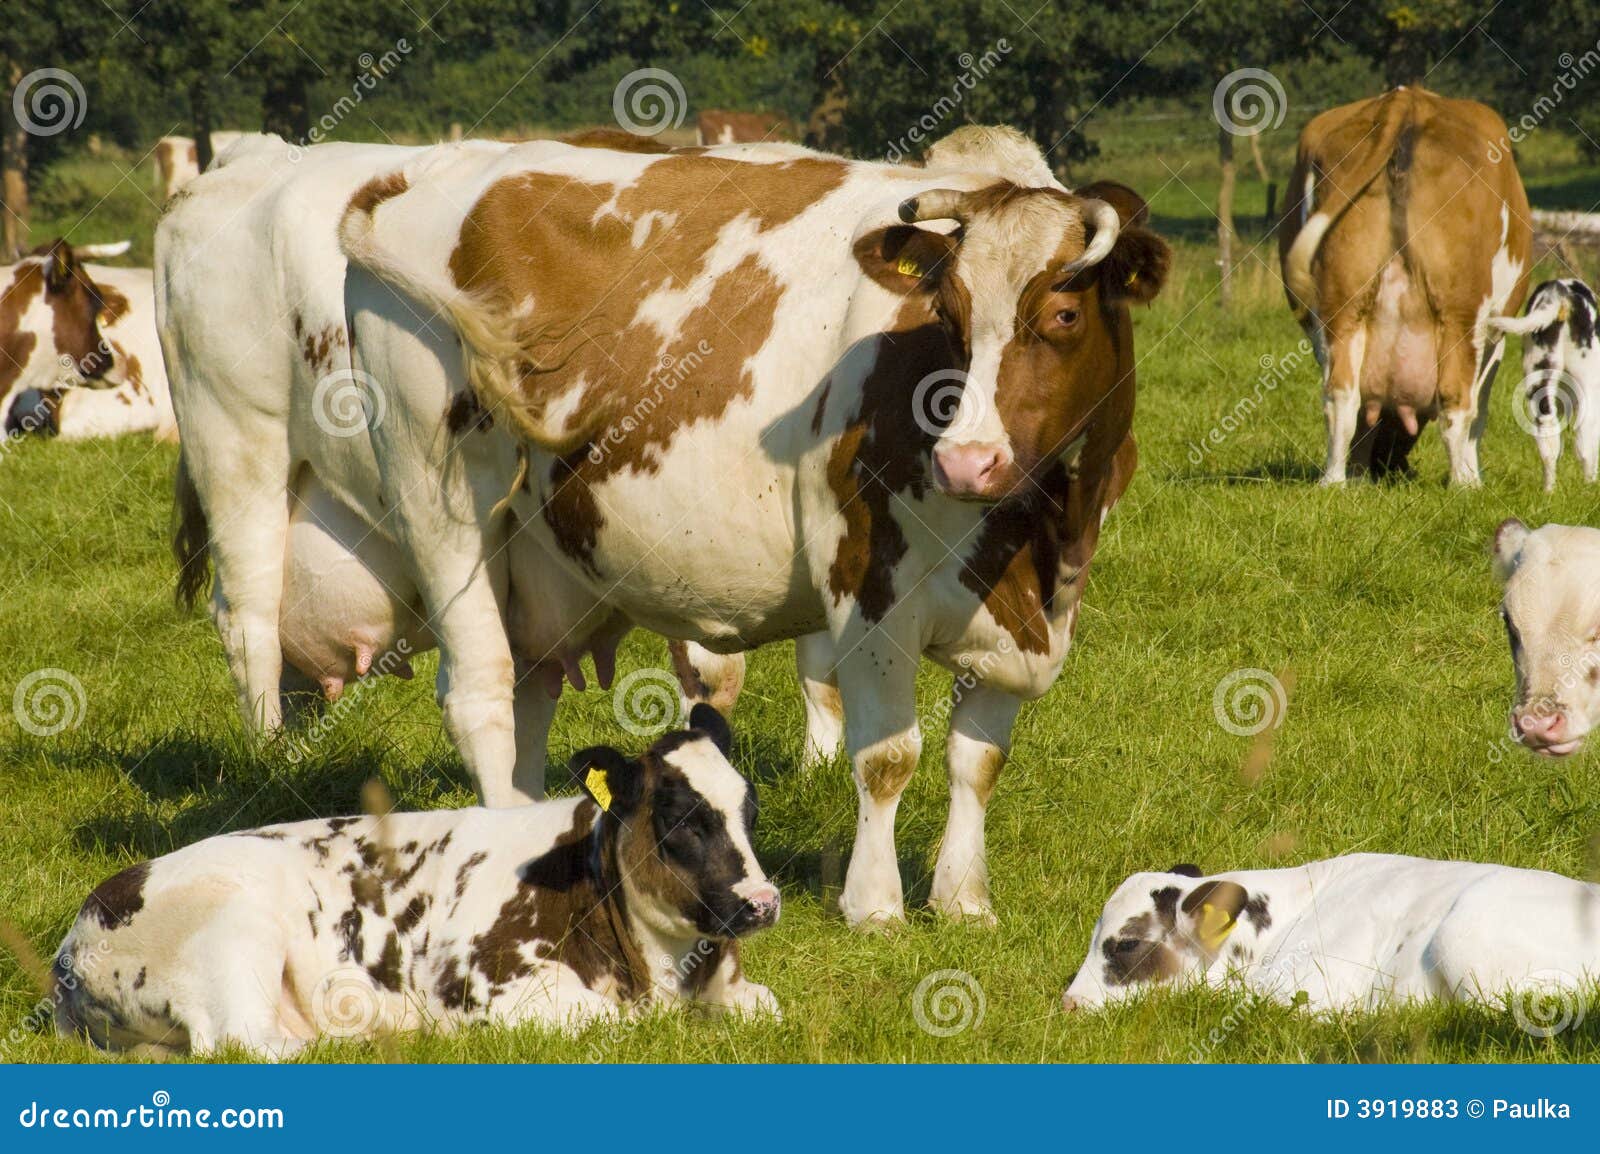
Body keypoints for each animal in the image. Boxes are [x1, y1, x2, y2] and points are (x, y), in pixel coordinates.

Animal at [54, 706, 779, 1058]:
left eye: (749, 809)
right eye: (681, 819)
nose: (761, 904)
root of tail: (75, 939)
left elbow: (764, 1006)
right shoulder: (490, 988)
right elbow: (603, 1020)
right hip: (234, 935)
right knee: (246, 1045)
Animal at [159, 128, 1169, 928]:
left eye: (1063, 314)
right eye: (950, 317)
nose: (967, 463)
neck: (1038, 537)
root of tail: (425, 168)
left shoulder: (1024, 620)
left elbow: (976, 761)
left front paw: (963, 902)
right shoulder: (869, 583)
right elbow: (889, 756)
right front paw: (875, 905)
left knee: (526, 692)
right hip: (365, 477)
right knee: (389, 663)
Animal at [1279, 88, 1532, 486]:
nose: (1392, 466)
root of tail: (1405, 99)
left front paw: (1359, 475)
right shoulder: (1496, 336)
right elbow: (1480, 412)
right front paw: (1472, 474)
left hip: (1342, 306)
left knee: (1341, 397)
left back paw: (1334, 481)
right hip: (1461, 311)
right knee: (1456, 402)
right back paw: (1463, 484)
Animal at [1489, 279, 1599, 490]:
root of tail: (1560, 294)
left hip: (1538, 377)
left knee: (1549, 437)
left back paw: (1549, 491)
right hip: (1588, 379)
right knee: (1585, 437)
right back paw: (1588, 486)